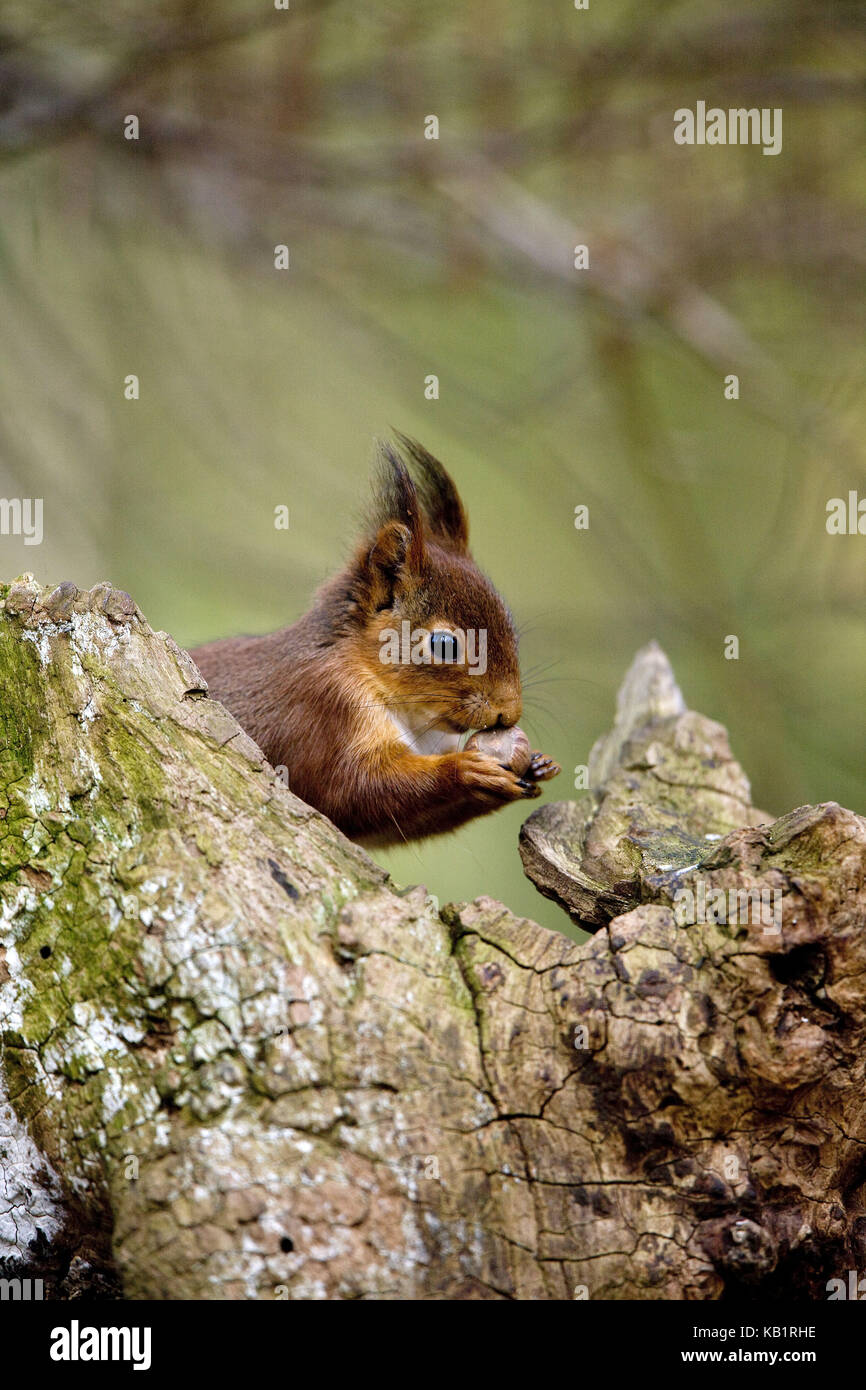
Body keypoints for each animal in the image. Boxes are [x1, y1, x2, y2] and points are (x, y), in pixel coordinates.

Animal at [190, 436, 560, 846]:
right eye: (444, 645)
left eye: (511, 626)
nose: (509, 712)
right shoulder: (324, 710)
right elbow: (349, 791)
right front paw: (466, 770)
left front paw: (538, 765)